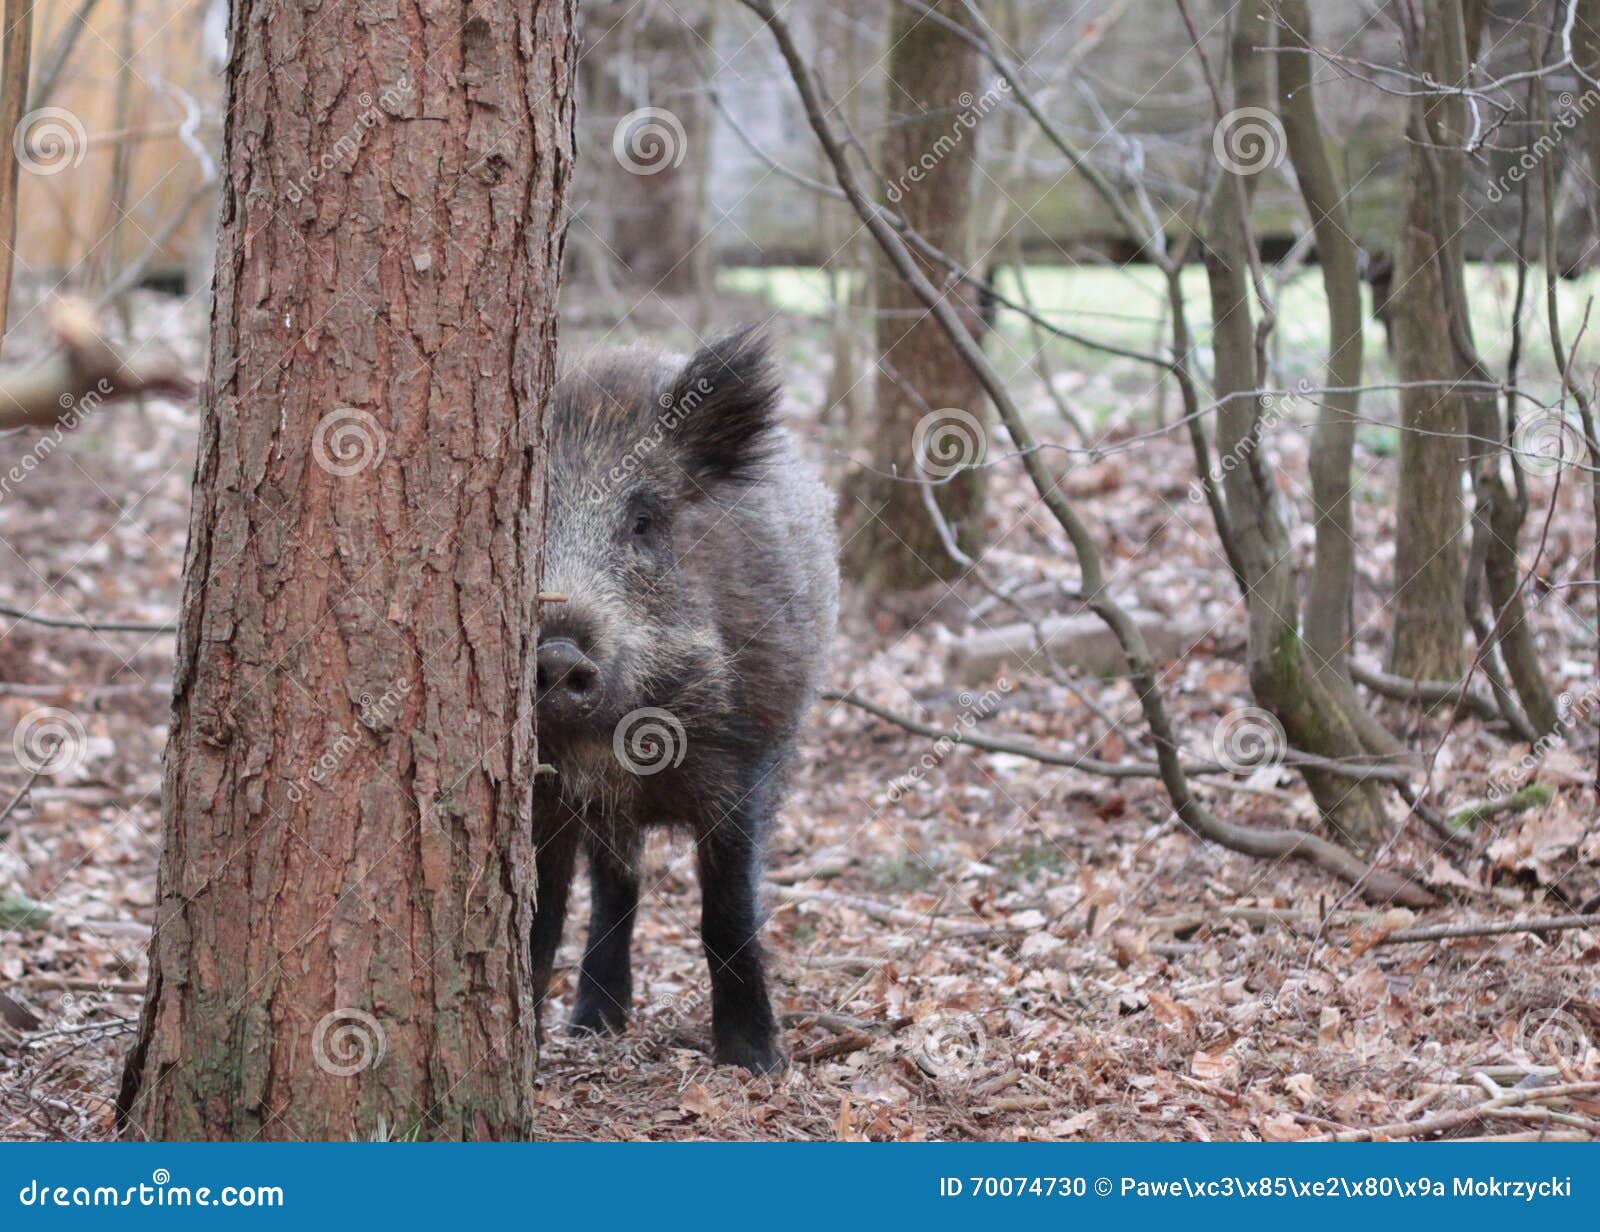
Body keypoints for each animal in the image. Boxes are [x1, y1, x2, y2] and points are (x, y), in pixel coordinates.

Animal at [530, 325, 838, 1074]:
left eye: (644, 521)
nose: (559, 655)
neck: (606, 743)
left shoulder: (743, 763)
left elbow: (725, 911)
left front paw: (755, 1061)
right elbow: (537, 917)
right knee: (618, 883)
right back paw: (592, 1026)